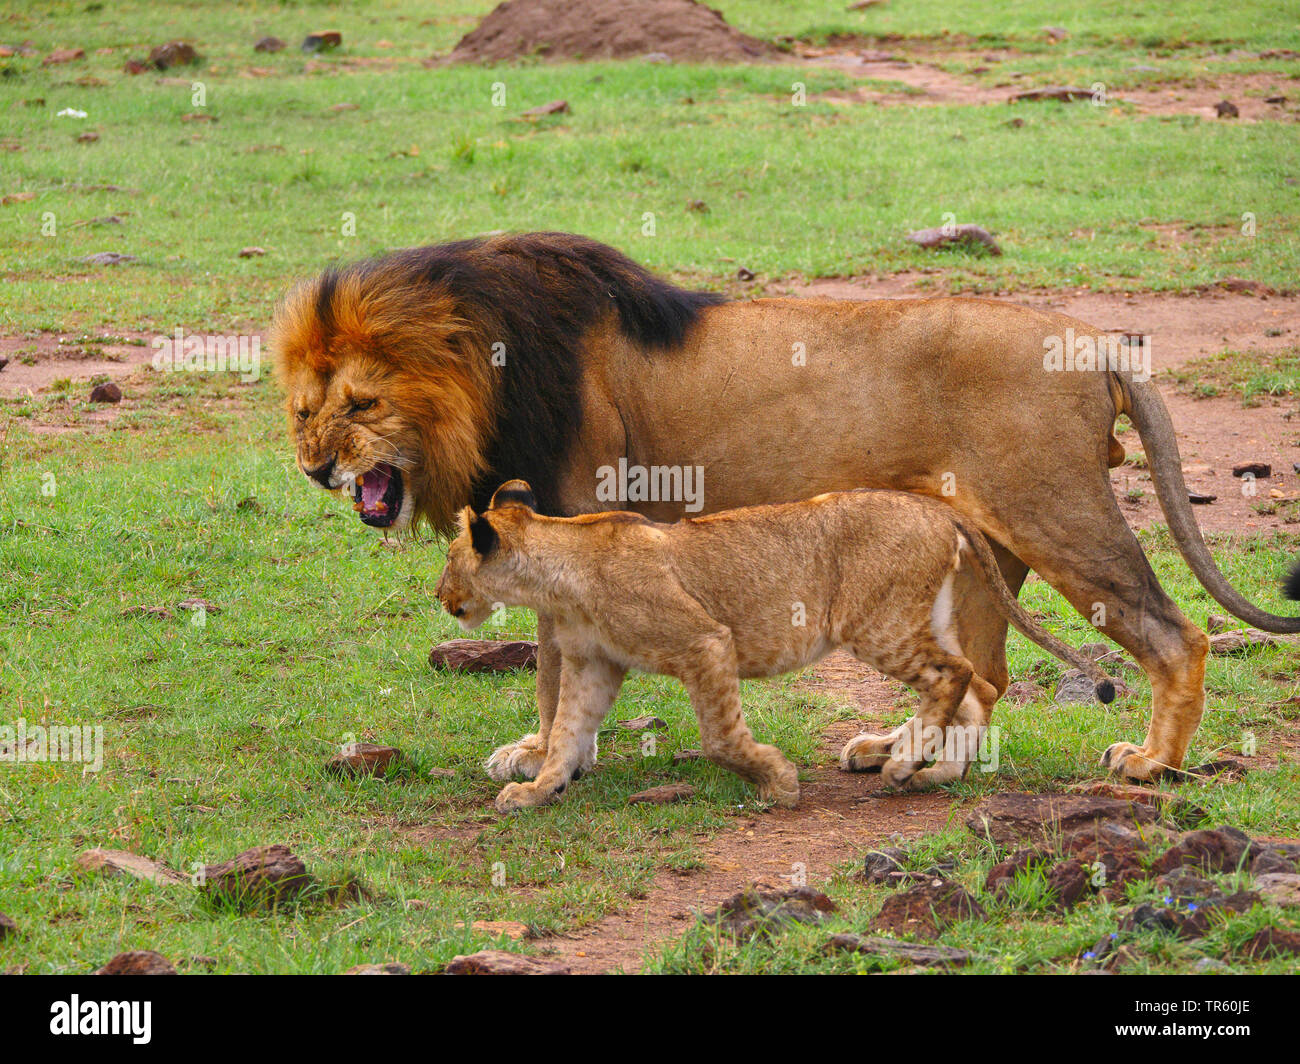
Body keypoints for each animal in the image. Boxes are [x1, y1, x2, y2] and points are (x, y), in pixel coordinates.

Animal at [436, 480, 1117, 810]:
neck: (560, 569)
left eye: (448, 559)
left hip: (877, 625)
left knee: (955, 676)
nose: (440, 595)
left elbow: (720, 737)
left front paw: (777, 783)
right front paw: (536, 792)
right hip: (923, 618)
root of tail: (938, 508)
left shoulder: (705, 642)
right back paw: (937, 774)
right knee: (974, 686)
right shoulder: (592, 664)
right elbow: (565, 734)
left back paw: (901, 765)